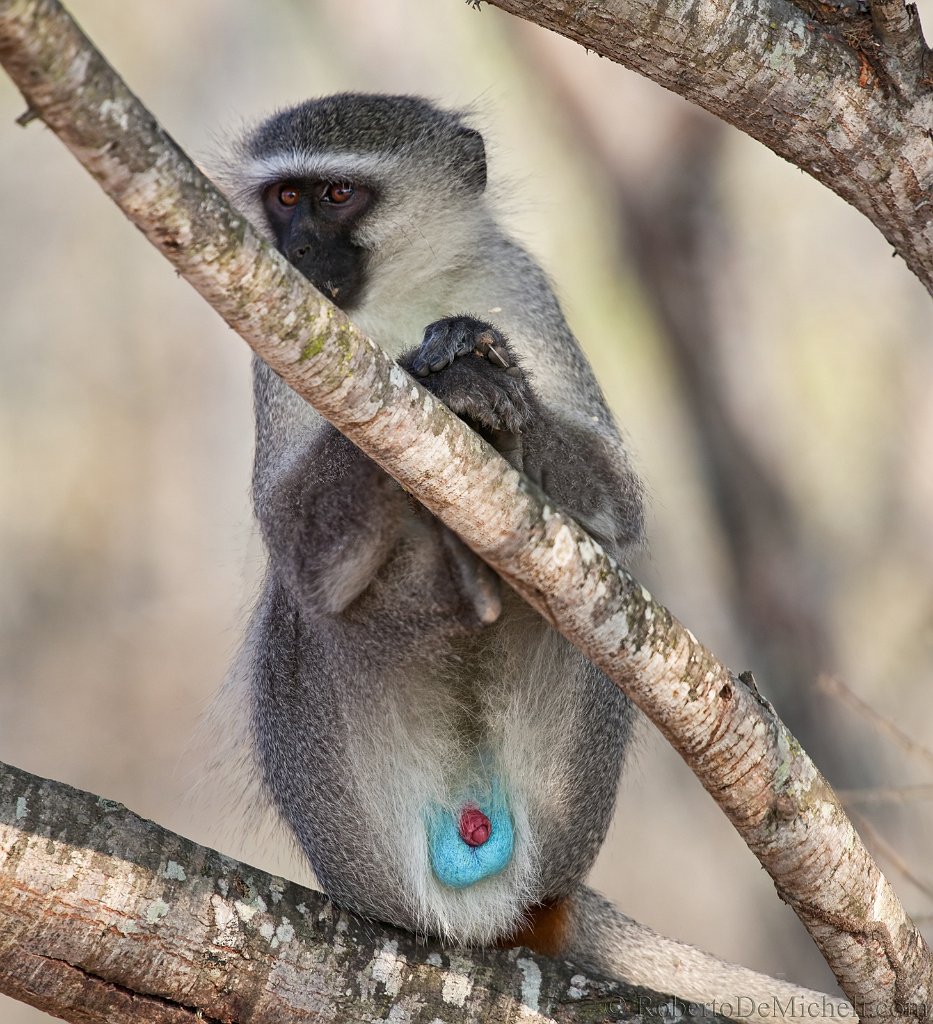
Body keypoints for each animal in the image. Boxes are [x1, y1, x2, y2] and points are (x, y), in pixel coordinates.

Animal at [219, 93, 848, 1018]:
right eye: (283, 199)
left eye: (334, 195)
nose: (293, 250)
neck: (403, 292)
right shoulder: (275, 333)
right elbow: (297, 548)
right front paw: (436, 377)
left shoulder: (517, 285)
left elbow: (616, 495)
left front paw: (497, 389)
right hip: (361, 840)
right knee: (305, 612)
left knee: (598, 577)